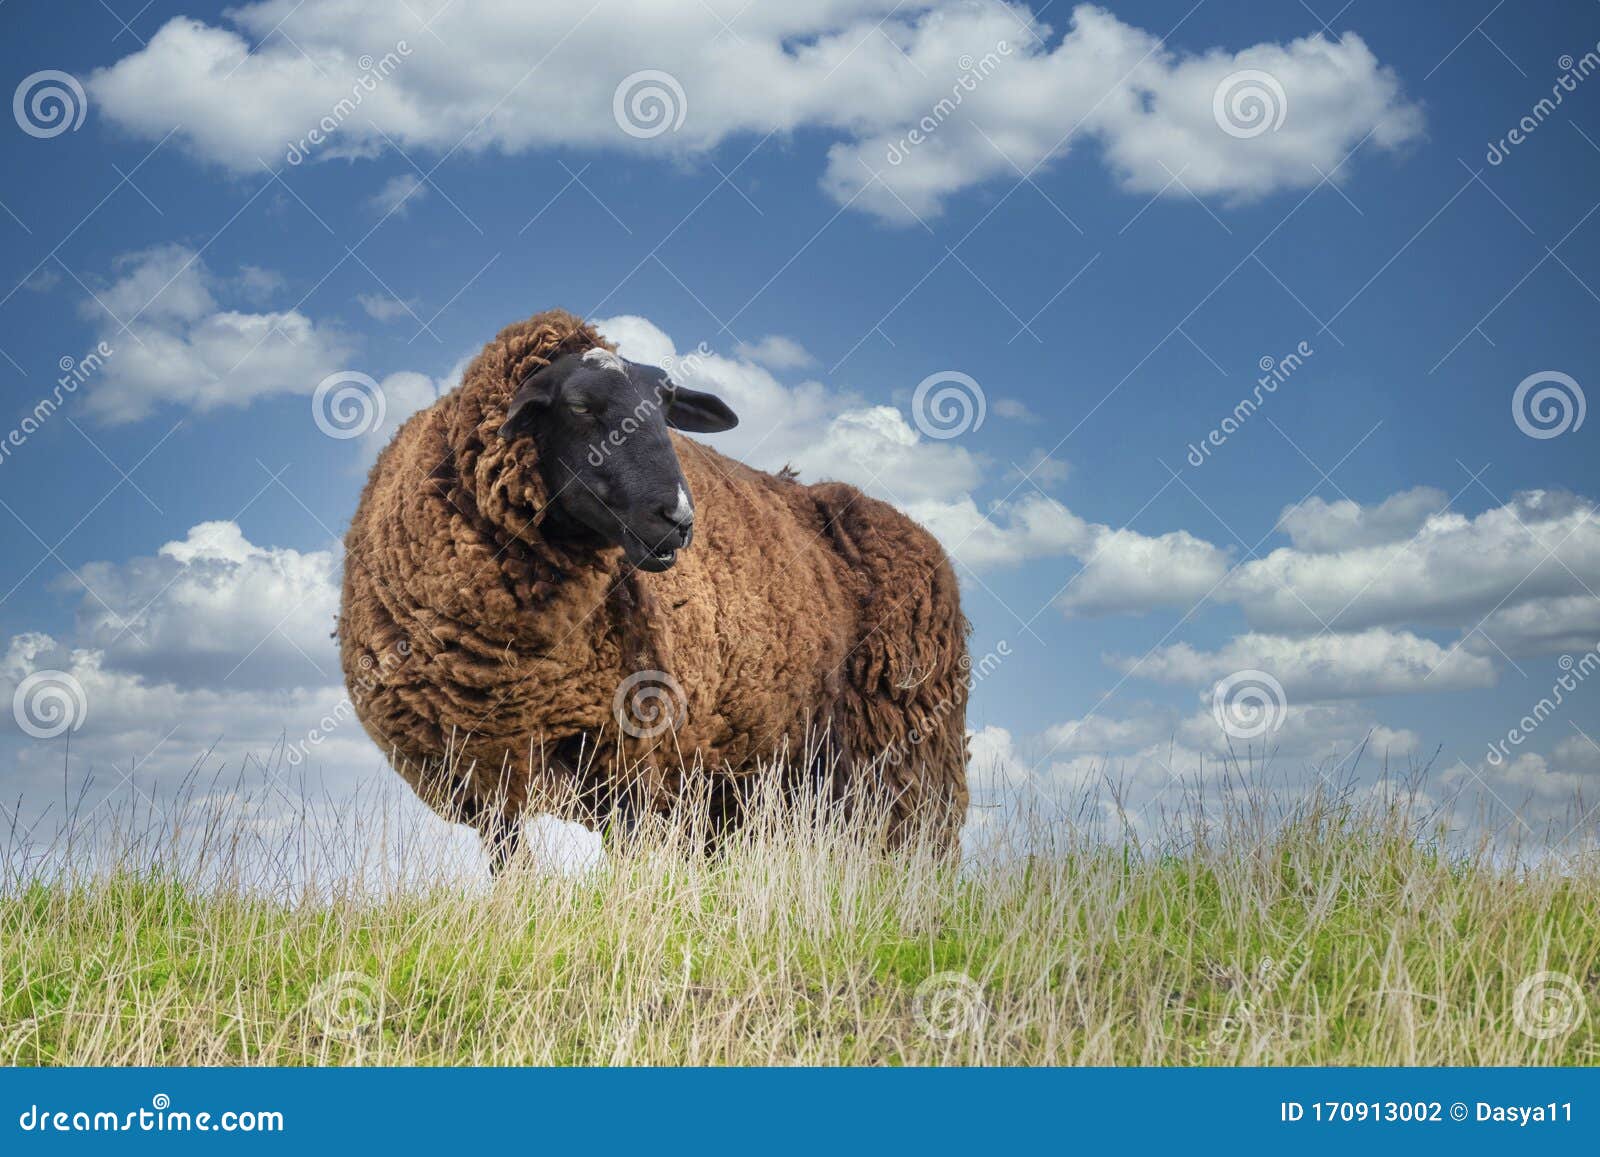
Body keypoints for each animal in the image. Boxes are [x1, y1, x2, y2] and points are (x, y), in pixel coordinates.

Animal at [338, 308, 969, 868]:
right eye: (580, 406)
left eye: (665, 409)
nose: (680, 518)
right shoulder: (482, 772)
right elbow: (510, 867)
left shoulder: (634, 760)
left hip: (907, 757)